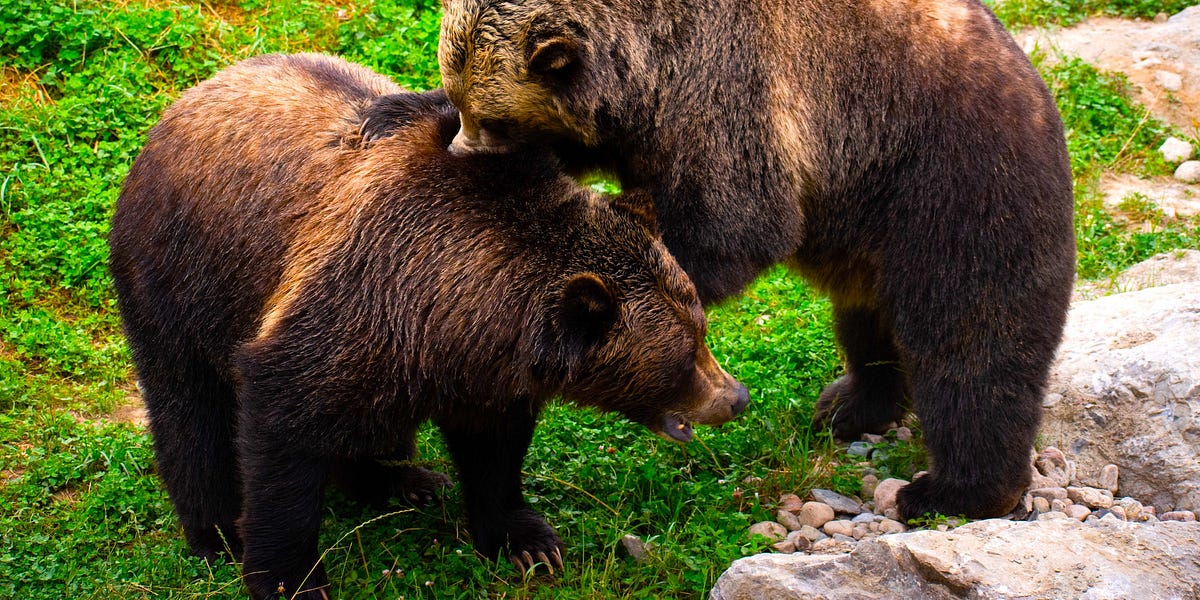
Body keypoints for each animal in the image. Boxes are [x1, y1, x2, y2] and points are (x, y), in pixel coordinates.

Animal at [107, 53, 748, 600]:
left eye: (701, 326)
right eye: (686, 350)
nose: (735, 396)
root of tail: (189, 96)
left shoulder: (476, 364)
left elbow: (493, 448)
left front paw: (526, 541)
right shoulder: (353, 297)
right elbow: (281, 429)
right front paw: (289, 576)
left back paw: (403, 479)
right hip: (182, 276)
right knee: (190, 409)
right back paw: (215, 532)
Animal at [436, 0, 1076, 520]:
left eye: (490, 115)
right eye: (456, 93)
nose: (461, 150)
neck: (645, 70)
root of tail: (1048, 104)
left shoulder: (727, 97)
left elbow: (735, 223)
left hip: (950, 194)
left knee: (971, 348)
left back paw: (951, 491)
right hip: (871, 236)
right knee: (866, 325)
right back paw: (849, 405)